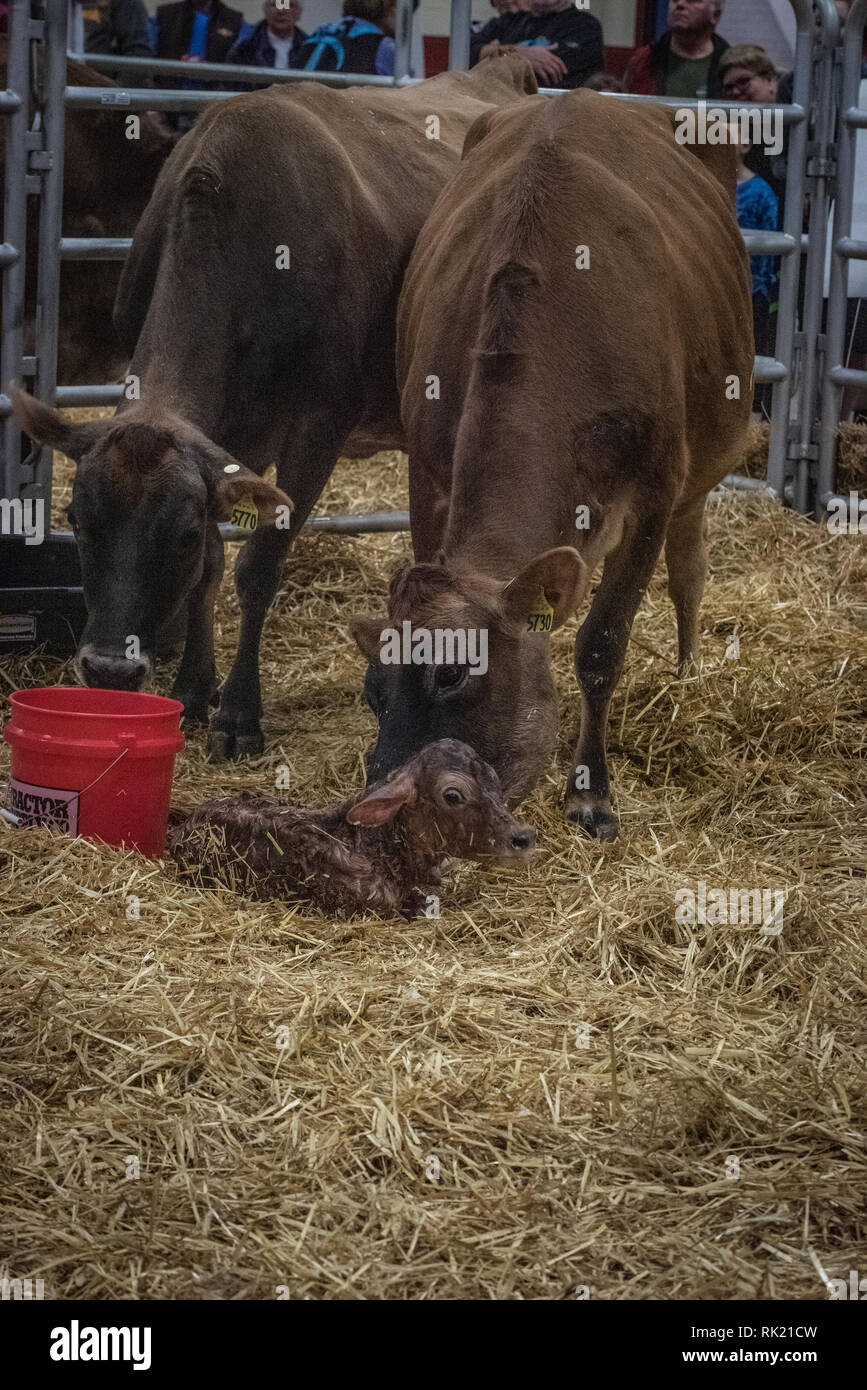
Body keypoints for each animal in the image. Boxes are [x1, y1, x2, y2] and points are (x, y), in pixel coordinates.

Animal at [351, 89, 753, 838]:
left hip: (700, 476)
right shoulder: (426, 472)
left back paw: (688, 675)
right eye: (373, 686)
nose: (377, 812)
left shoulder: (654, 493)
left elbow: (601, 647)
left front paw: (590, 791)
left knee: (690, 571)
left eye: (453, 674)